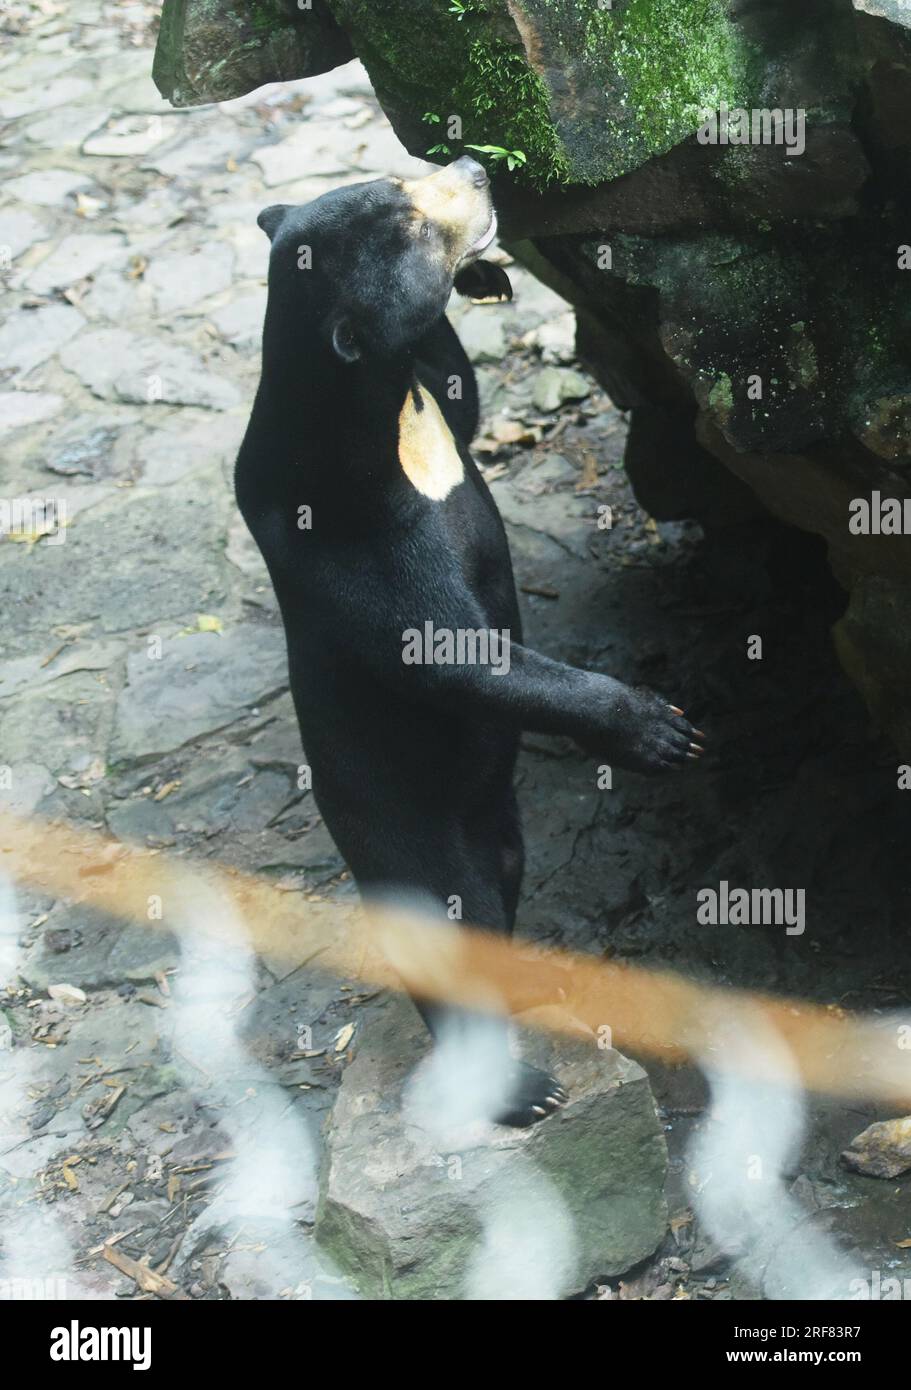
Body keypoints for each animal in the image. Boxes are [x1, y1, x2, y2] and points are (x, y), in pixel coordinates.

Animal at [235, 156, 705, 1127]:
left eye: (392, 181)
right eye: (411, 226)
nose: (476, 167)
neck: (380, 421)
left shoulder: (435, 421)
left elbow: (465, 390)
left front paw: (485, 281)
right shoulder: (352, 541)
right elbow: (453, 658)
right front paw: (659, 730)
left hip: (500, 830)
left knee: (500, 897)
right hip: (403, 831)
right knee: (452, 935)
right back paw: (520, 1090)